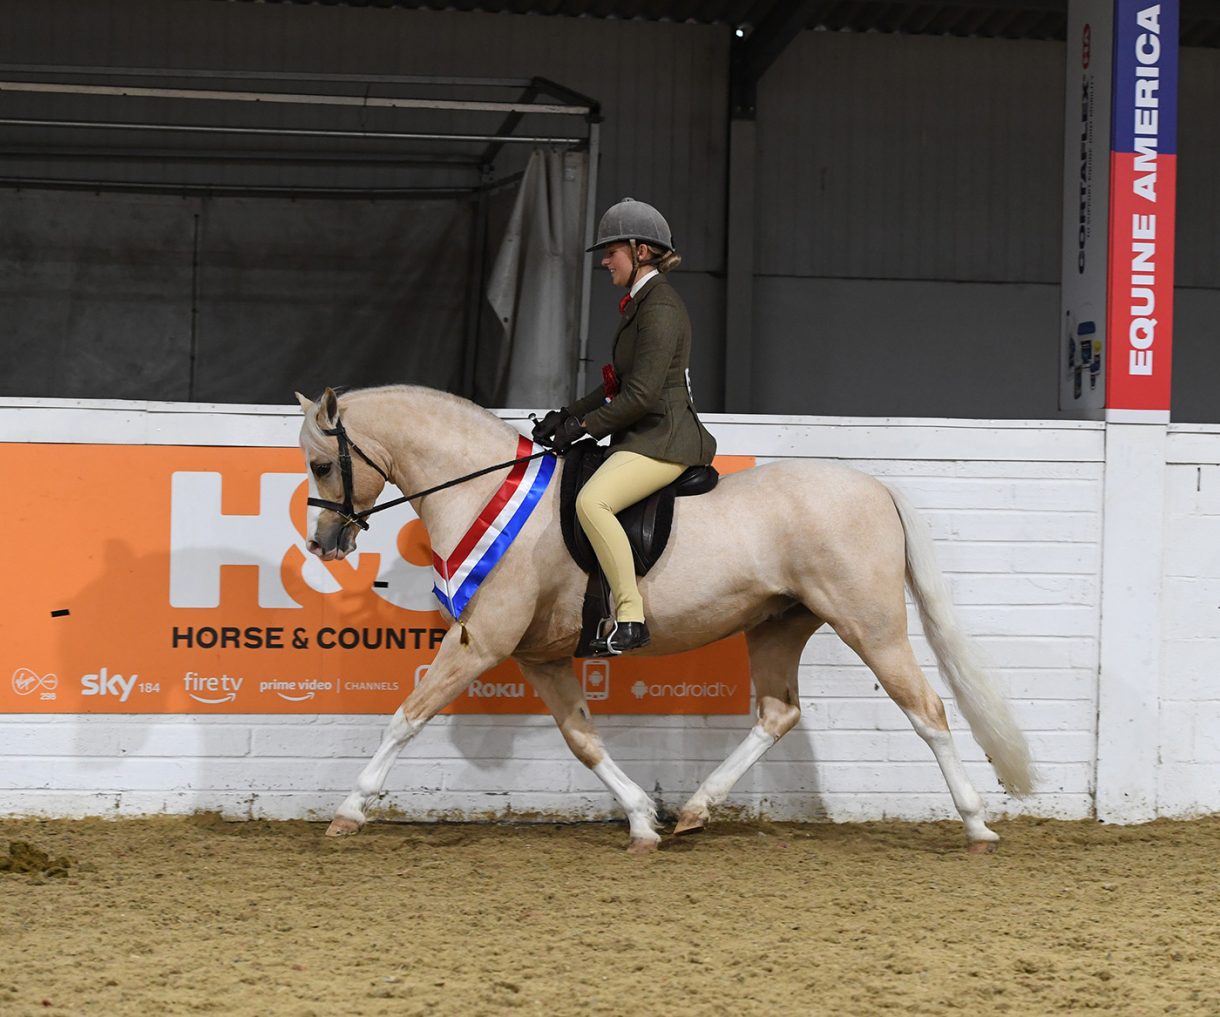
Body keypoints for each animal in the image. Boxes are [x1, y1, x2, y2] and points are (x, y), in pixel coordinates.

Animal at [296, 384, 1034, 853]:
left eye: (322, 464)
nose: (323, 545)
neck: (485, 490)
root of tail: (876, 486)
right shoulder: (540, 656)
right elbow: (583, 740)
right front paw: (643, 820)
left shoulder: (482, 642)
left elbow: (407, 715)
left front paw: (349, 809)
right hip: (778, 623)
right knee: (777, 712)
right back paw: (696, 810)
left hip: (870, 624)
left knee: (928, 711)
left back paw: (977, 826)